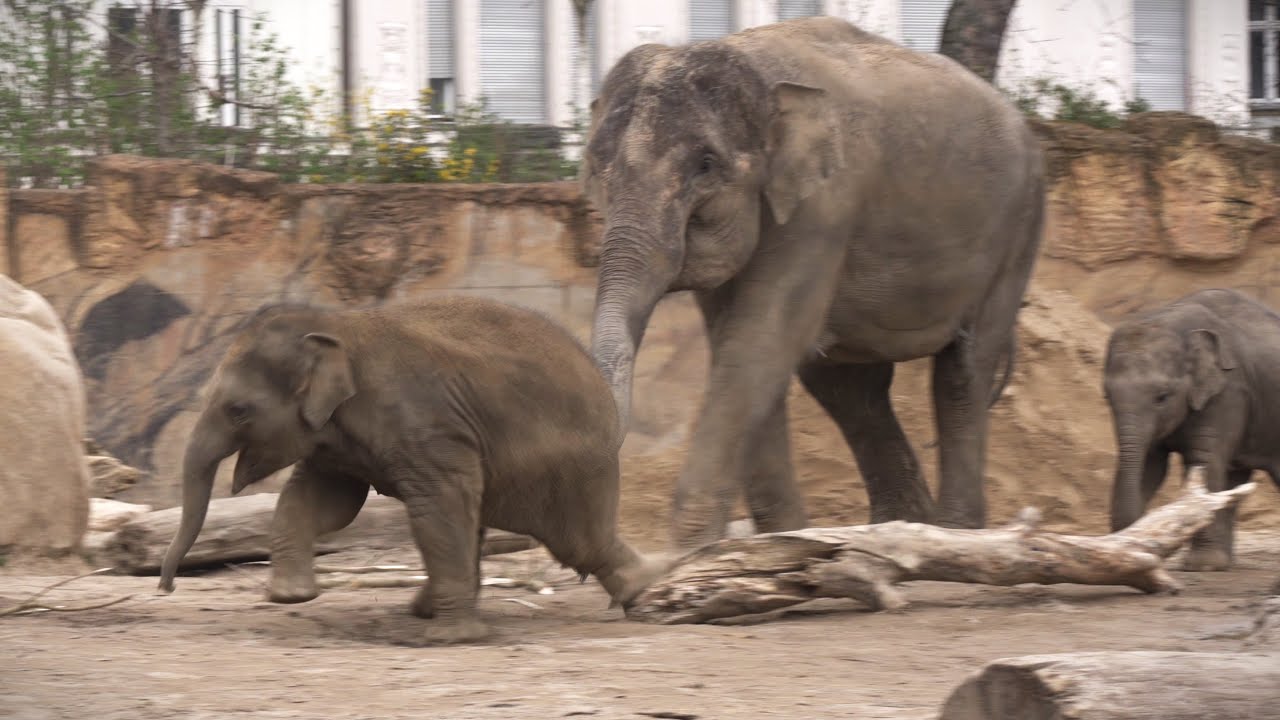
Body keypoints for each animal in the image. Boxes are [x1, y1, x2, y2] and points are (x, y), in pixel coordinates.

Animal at [157, 295, 669, 644]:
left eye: (238, 411)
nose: (165, 589)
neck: (336, 325)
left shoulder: (423, 425)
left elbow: (437, 505)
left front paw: (452, 641)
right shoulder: (335, 434)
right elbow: (325, 500)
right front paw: (291, 597)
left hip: (565, 466)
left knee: (574, 539)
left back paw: (638, 589)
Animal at [580, 16, 1045, 549]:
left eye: (706, 165)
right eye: (596, 165)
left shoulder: (825, 207)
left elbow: (757, 344)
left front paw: (693, 552)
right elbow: (739, 347)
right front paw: (780, 541)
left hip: (1018, 230)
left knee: (962, 371)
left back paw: (952, 534)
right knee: (848, 387)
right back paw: (900, 526)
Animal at [1105, 287, 1280, 571]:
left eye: (1162, 397)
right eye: (1107, 397)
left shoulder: (1227, 391)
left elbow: (1203, 462)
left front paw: (1201, 566)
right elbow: (1149, 465)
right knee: (1235, 478)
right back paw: (1225, 563)